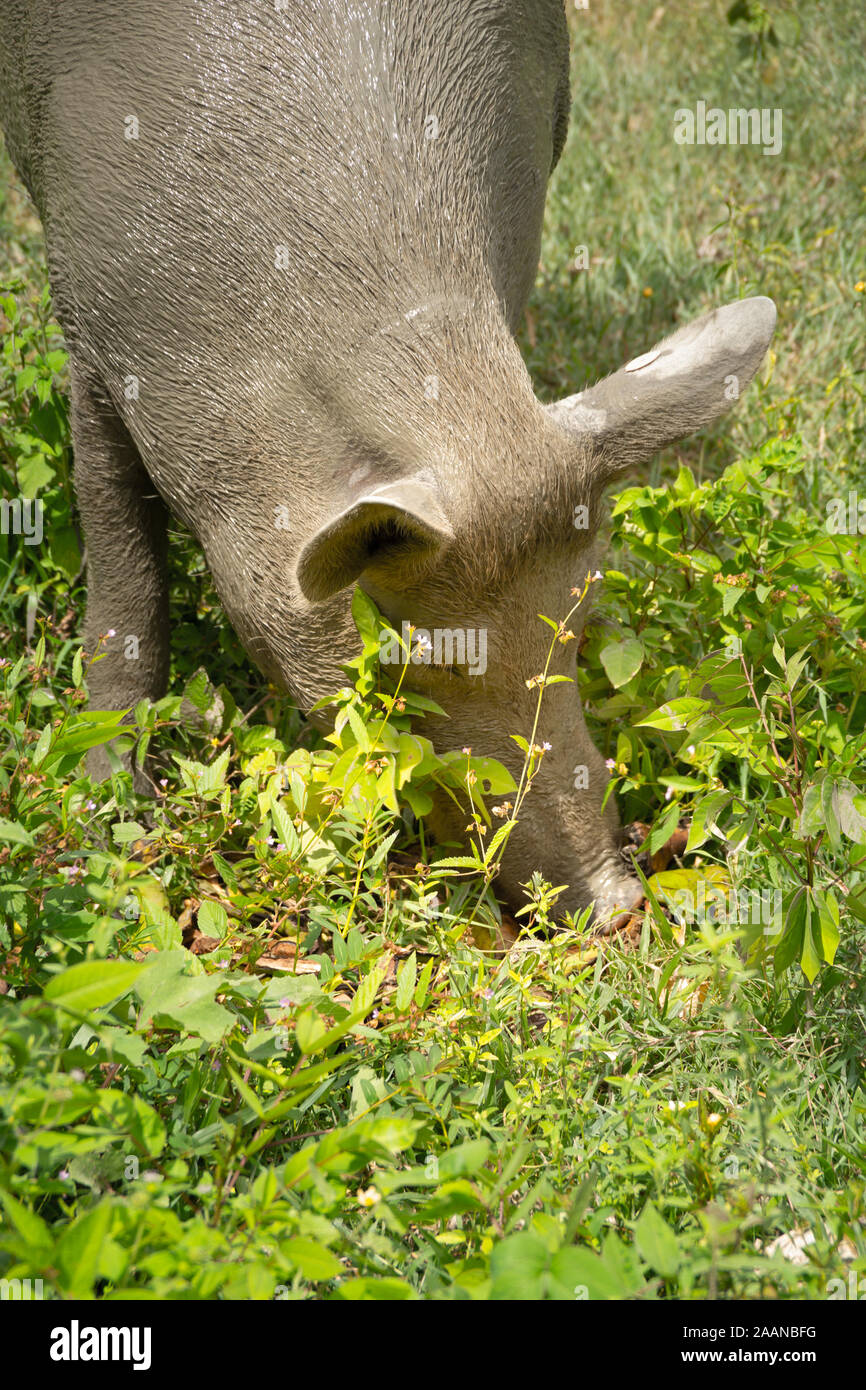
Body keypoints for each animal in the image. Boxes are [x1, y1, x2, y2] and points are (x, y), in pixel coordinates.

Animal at [0, 1, 775, 923]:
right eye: (416, 663)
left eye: (579, 622)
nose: (620, 899)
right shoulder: (91, 335)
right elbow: (124, 573)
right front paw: (112, 813)